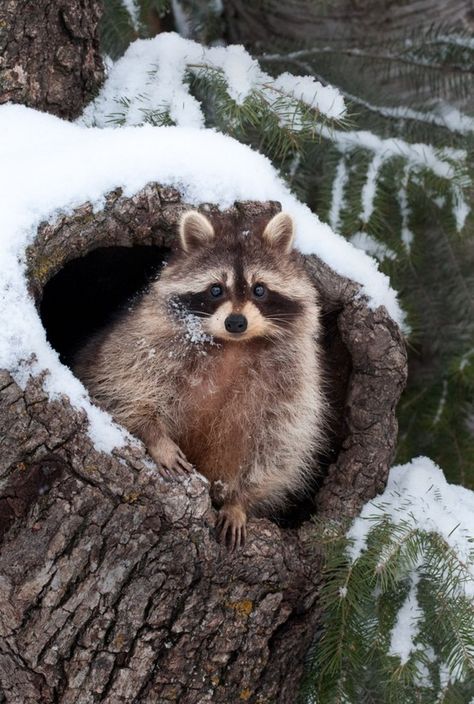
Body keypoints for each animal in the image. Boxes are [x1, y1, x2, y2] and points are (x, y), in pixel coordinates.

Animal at [75, 209, 326, 552]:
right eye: (216, 289)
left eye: (259, 289)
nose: (236, 322)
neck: (233, 345)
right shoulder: (147, 341)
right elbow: (125, 386)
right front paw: (155, 436)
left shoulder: (294, 375)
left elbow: (280, 441)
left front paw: (239, 500)